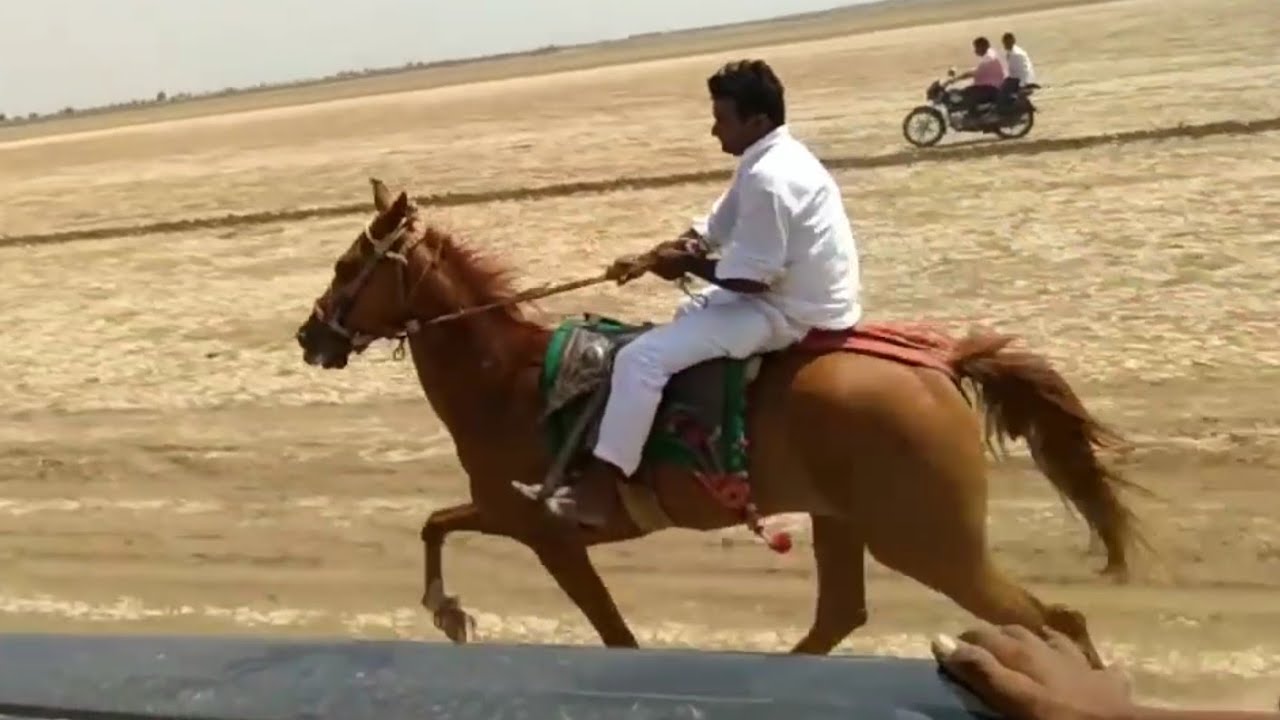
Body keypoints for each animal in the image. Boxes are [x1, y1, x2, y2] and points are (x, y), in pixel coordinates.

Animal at [294, 178, 1146, 666]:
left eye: (346, 267)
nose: (310, 335)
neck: (507, 377)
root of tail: (939, 364)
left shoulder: (543, 529)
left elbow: (608, 627)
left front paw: (449, 611)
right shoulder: (506, 511)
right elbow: (436, 524)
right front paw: (448, 612)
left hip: (930, 542)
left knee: (1055, 621)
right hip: (847, 522)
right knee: (841, 616)